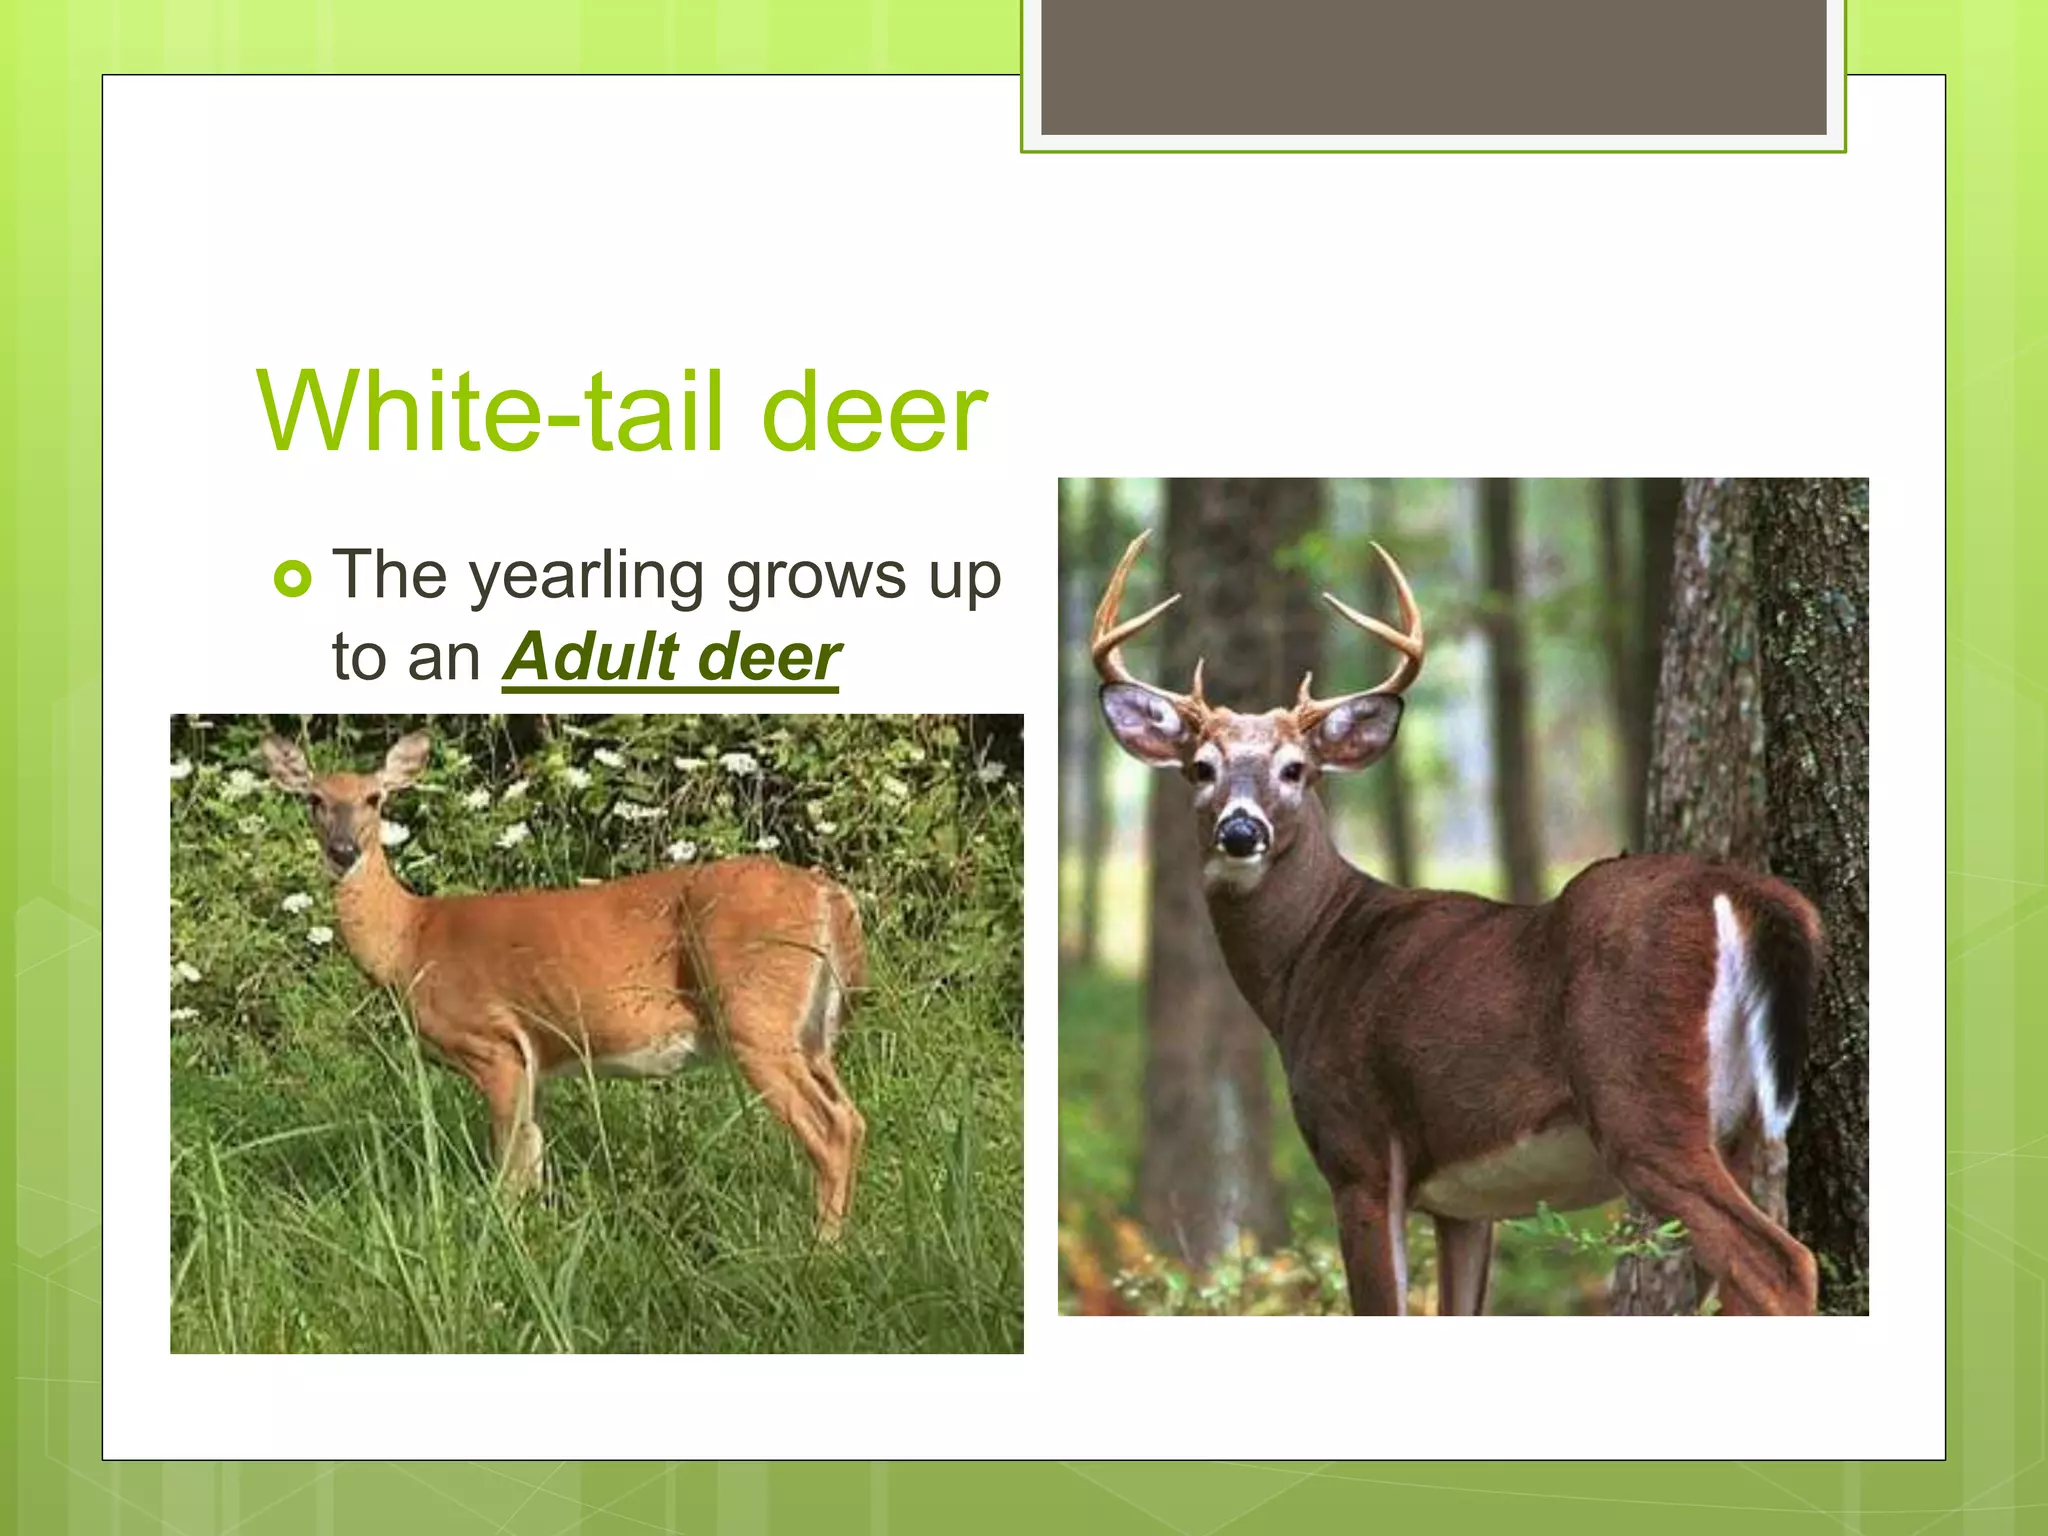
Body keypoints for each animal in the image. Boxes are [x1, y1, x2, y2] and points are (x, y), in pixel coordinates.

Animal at [259, 730, 868, 1237]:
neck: (411, 939)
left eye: (373, 799)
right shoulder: (534, 1059)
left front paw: (502, 1242)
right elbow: (532, 1160)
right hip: (812, 1030)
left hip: (753, 1015)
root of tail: (830, 895)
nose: (343, 851)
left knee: (831, 1127)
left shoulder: (491, 1043)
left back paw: (820, 1249)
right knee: (854, 1117)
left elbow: (508, 1170)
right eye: (315, 799)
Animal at [1093, 531, 1822, 1316]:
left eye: (1295, 769)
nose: (1240, 831)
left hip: (1643, 1101)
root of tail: (1739, 891)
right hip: (1744, 1126)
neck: (1310, 961)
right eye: (1201, 768)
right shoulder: (1463, 1204)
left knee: (1778, 1262)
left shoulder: (1358, 1147)